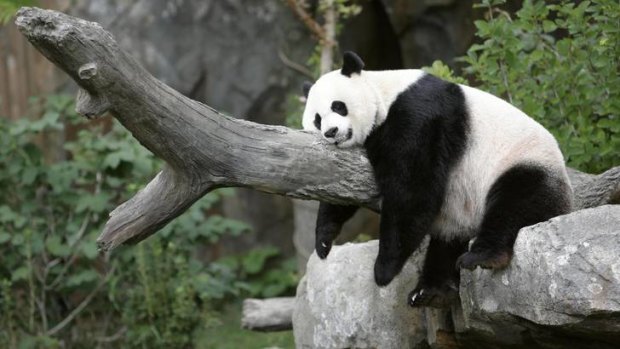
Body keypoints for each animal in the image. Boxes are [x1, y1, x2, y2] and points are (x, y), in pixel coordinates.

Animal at [300, 50, 572, 306]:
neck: (384, 94)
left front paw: (383, 270)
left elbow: (412, 189)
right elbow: (343, 186)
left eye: (338, 106)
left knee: (515, 203)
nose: (331, 132)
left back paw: (482, 257)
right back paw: (430, 291)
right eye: (317, 119)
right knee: (447, 242)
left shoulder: (418, 116)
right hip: (459, 212)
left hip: (524, 163)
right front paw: (323, 241)